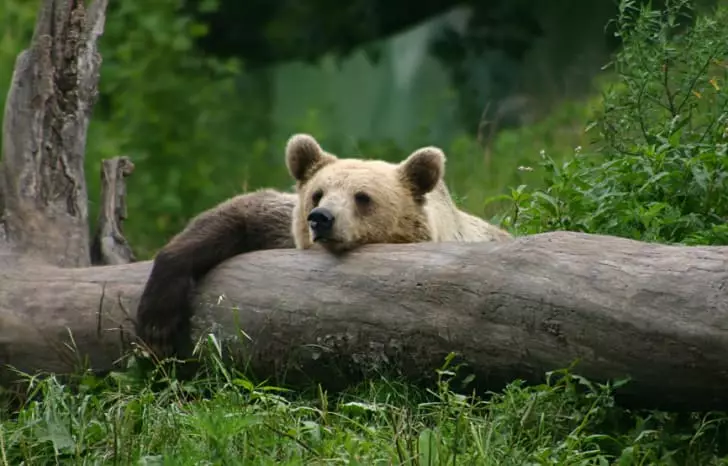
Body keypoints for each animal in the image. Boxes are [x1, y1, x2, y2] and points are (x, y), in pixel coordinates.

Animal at [136, 133, 512, 358]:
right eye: (318, 193)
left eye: (363, 197)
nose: (321, 218)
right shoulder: (281, 231)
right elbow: (242, 213)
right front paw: (156, 323)